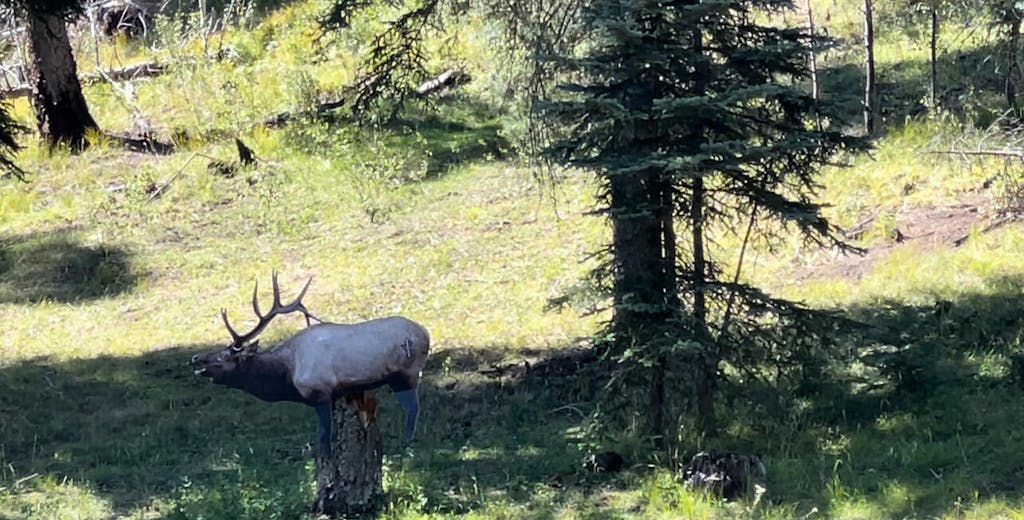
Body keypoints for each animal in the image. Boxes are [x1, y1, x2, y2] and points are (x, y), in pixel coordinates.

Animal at [189, 273, 430, 455]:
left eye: (224, 356)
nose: (195, 359)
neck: (287, 374)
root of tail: (425, 333)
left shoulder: (320, 392)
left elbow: (324, 437)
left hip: (407, 373)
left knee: (413, 409)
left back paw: (406, 444)